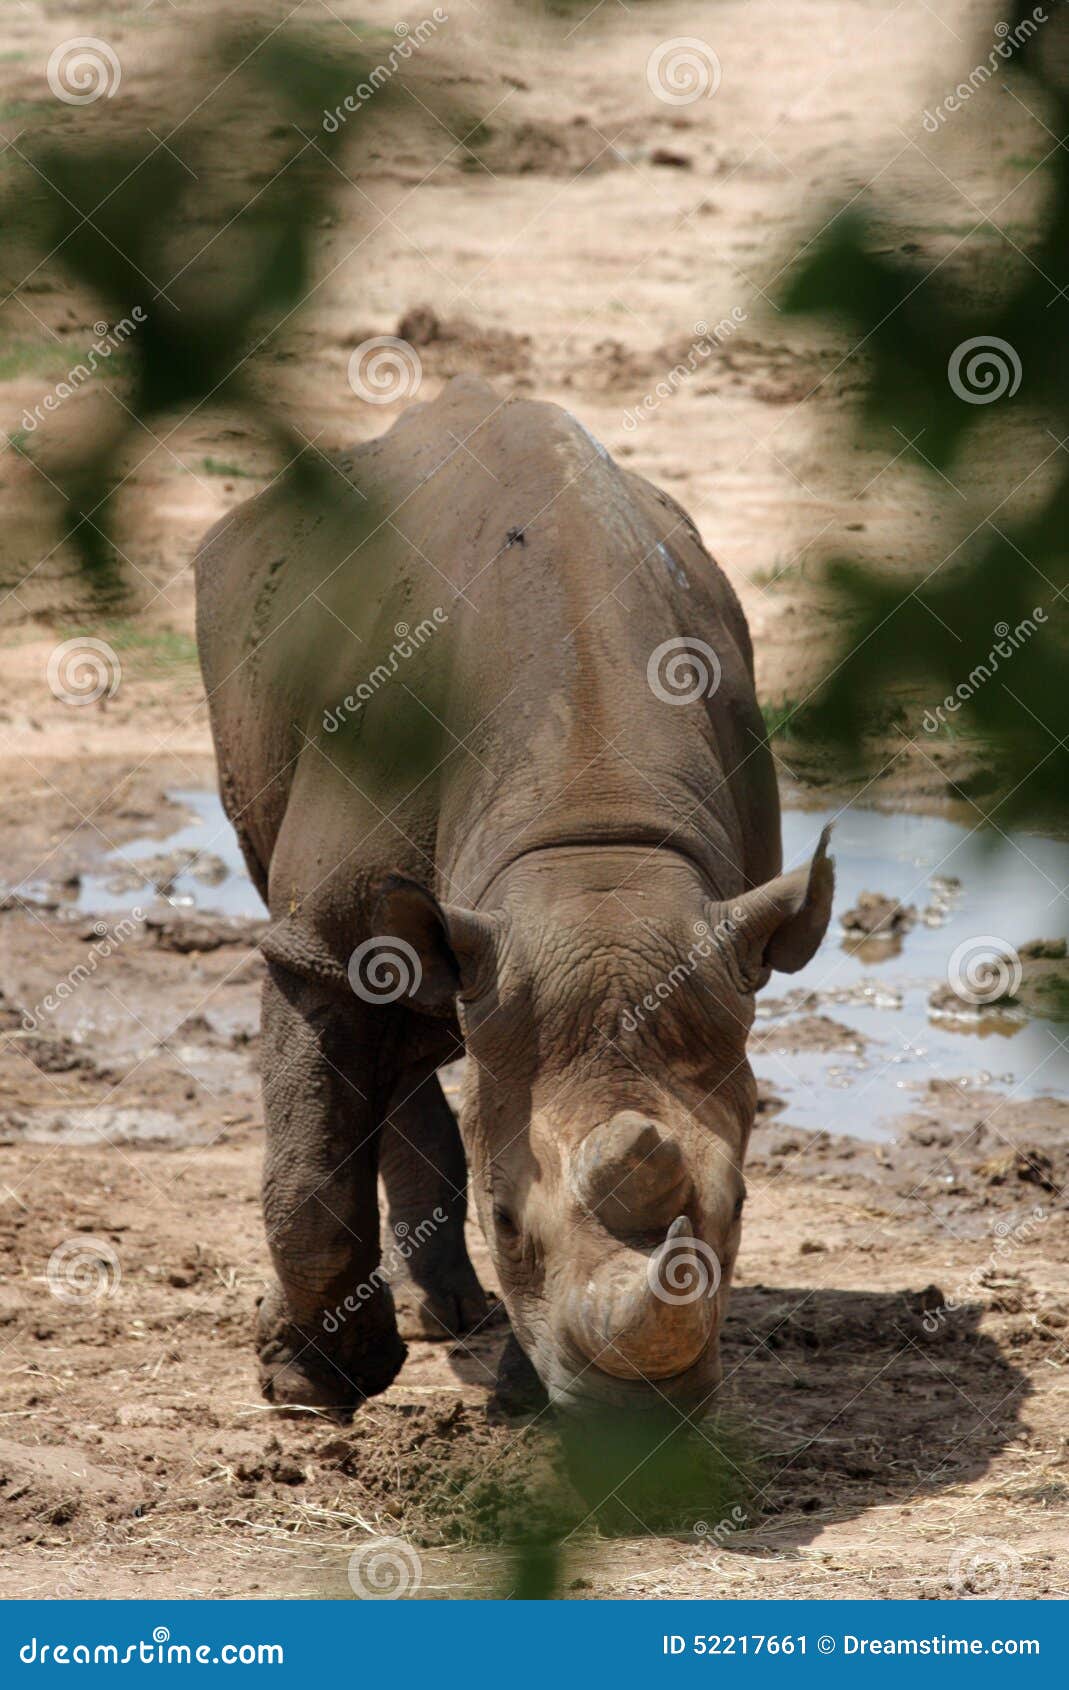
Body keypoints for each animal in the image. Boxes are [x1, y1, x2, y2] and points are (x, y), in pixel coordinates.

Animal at [194, 375, 833, 1421]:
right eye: (504, 1219)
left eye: (742, 1209)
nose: (639, 1419)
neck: (590, 829)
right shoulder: (321, 943)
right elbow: (309, 1167)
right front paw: (307, 1387)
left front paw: (526, 1394)